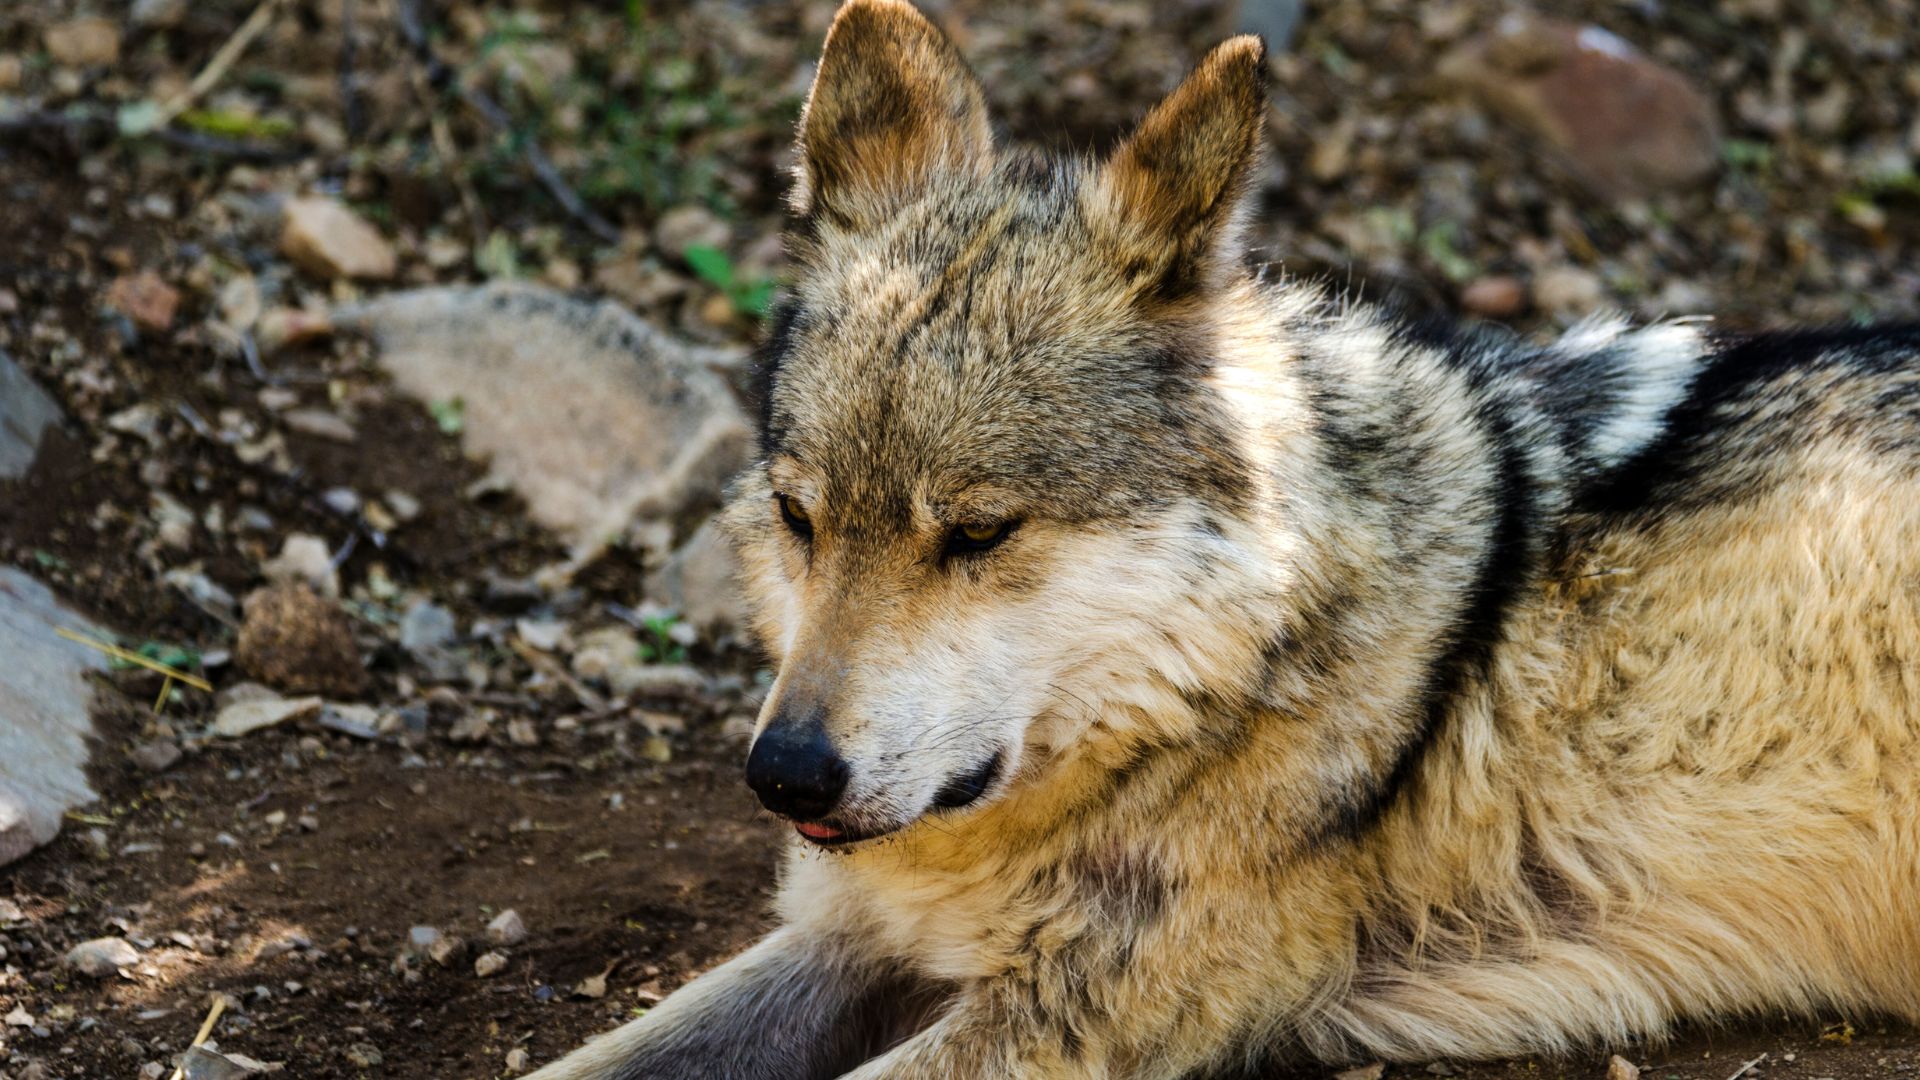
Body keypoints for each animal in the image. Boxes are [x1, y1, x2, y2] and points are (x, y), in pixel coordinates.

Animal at [529, 1, 1920, 1077]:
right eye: (798, 518)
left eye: (978, 532)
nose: (786, 776)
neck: (1228, 681)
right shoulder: (849, 931)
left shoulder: (1091, 1005)